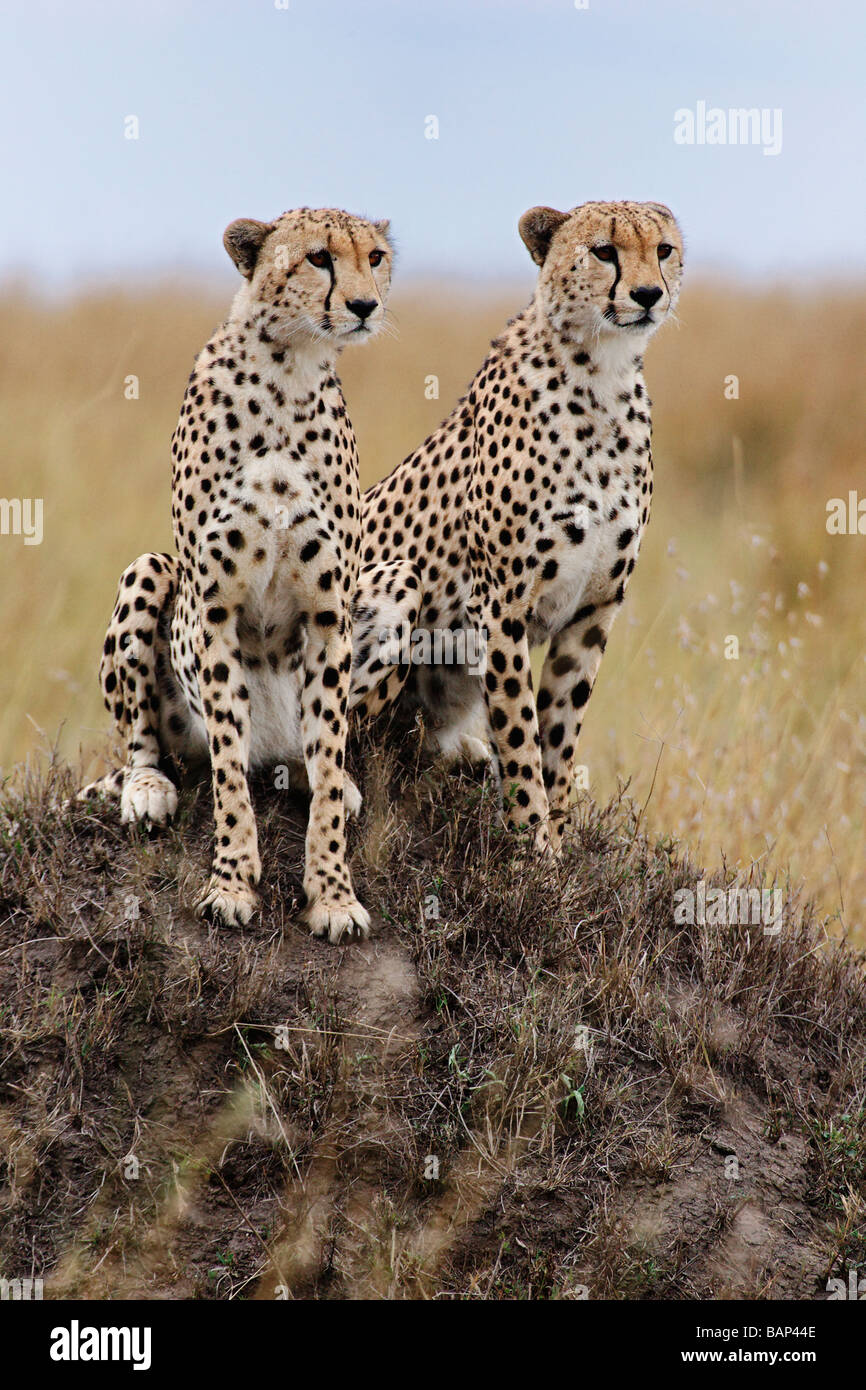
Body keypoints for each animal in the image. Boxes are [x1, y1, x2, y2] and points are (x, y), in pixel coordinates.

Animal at [349, 199, 683, 854]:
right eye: (604, 251)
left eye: (663, 250)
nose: (649, 294)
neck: (601, 376)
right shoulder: (500, 605)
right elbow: (520, 731)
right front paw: (533, 847)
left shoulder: (592, 611)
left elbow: (558, 733)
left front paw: (556, 836)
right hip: (390, 589)